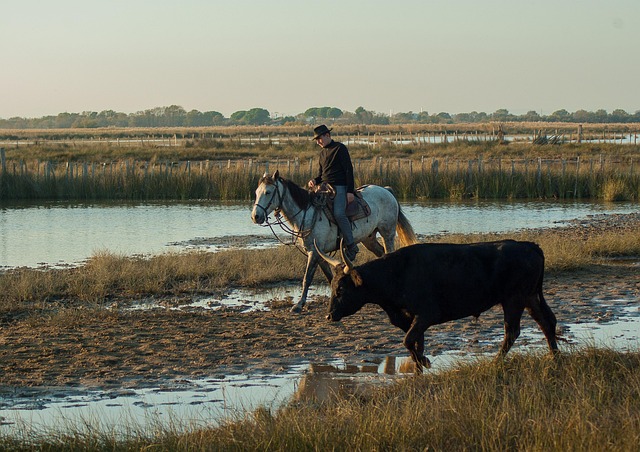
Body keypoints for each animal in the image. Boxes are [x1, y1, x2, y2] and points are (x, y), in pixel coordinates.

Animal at [316, 239, 559, 373]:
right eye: (332, 286)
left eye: (341, 289)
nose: (329, 316)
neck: (396, 273)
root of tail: (529, 245)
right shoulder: (412, 319)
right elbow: (415, 343)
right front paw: (419, 366)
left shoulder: (427, 314)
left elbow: (408, 341)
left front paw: (424, 362)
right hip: (529, 298)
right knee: (546, 322)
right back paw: (555, 356)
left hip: (514, 300)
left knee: (512, 331)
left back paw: (496, 362)